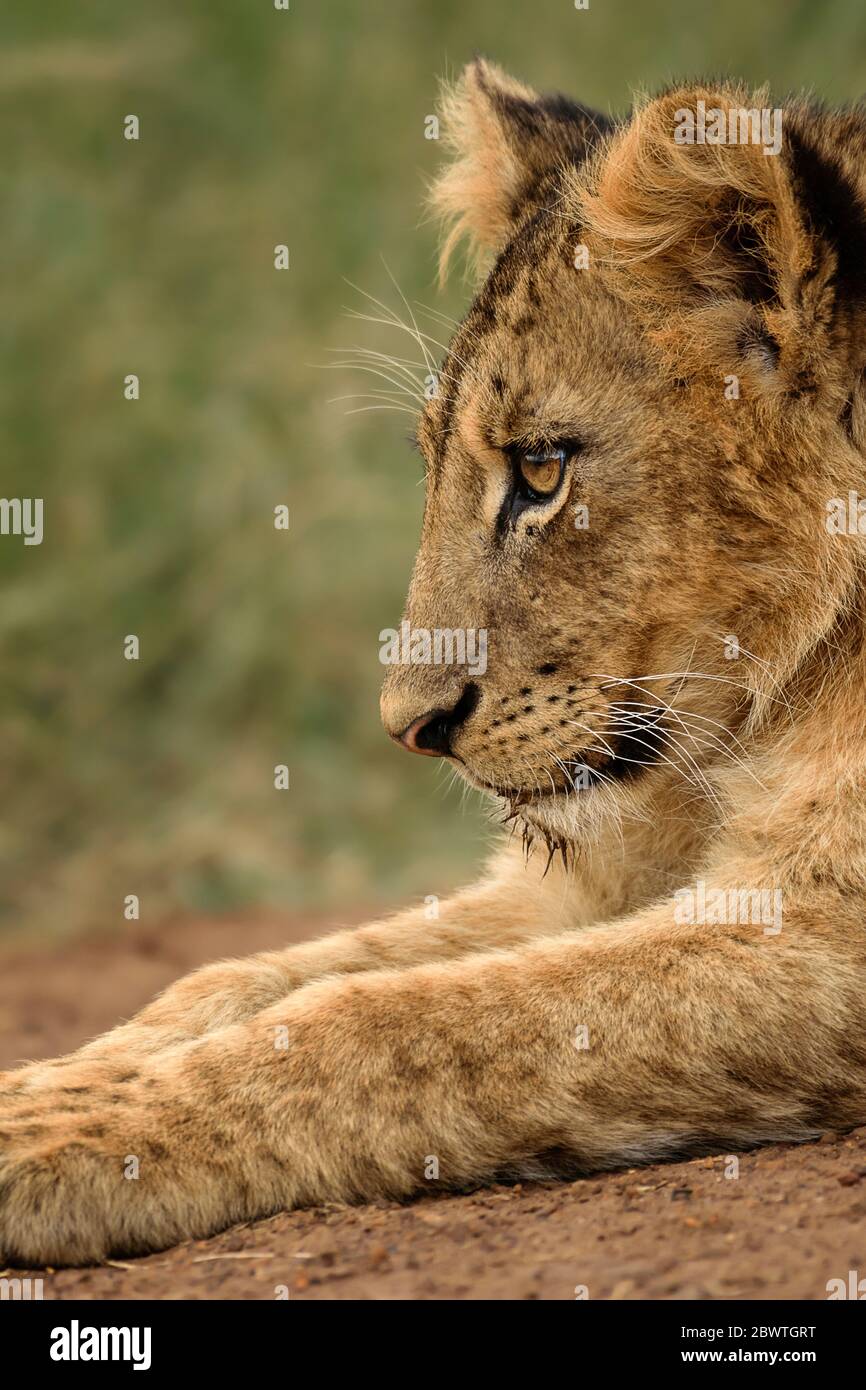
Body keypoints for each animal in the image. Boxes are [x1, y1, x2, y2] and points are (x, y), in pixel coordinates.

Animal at [4, 60, 866, 1266]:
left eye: (542, 468)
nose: (407, 727)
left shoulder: (828, 932)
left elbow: (374, 1018)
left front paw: (54, 1136)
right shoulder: (595, 868)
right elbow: (250, 971)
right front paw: (53, 1082)